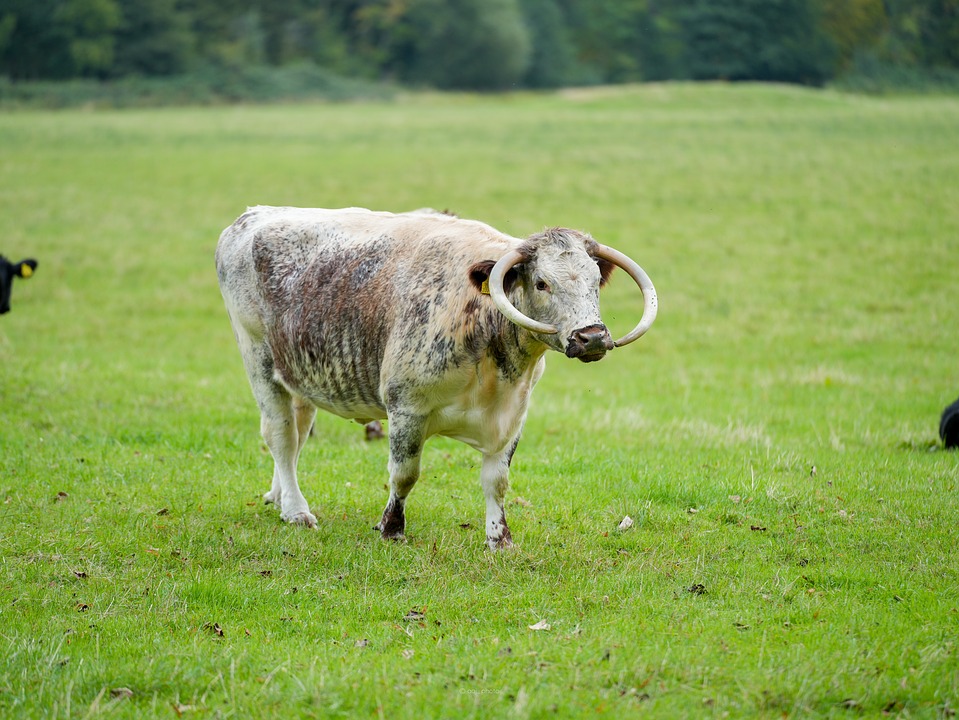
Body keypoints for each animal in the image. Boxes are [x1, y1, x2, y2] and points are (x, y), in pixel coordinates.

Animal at [215, 207, 657, 549]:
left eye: (594, 281)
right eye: (542, 282)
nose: (592, 337)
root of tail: (250, 217)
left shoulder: (514, 414)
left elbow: (496, 480)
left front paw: (499, 539)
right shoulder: (406, 409)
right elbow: (404, 474)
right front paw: (391, 528)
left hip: (300, 379)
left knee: (297, 435)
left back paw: (278, 496)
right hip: (259, 362)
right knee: (281, 435)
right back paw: (296, 510)